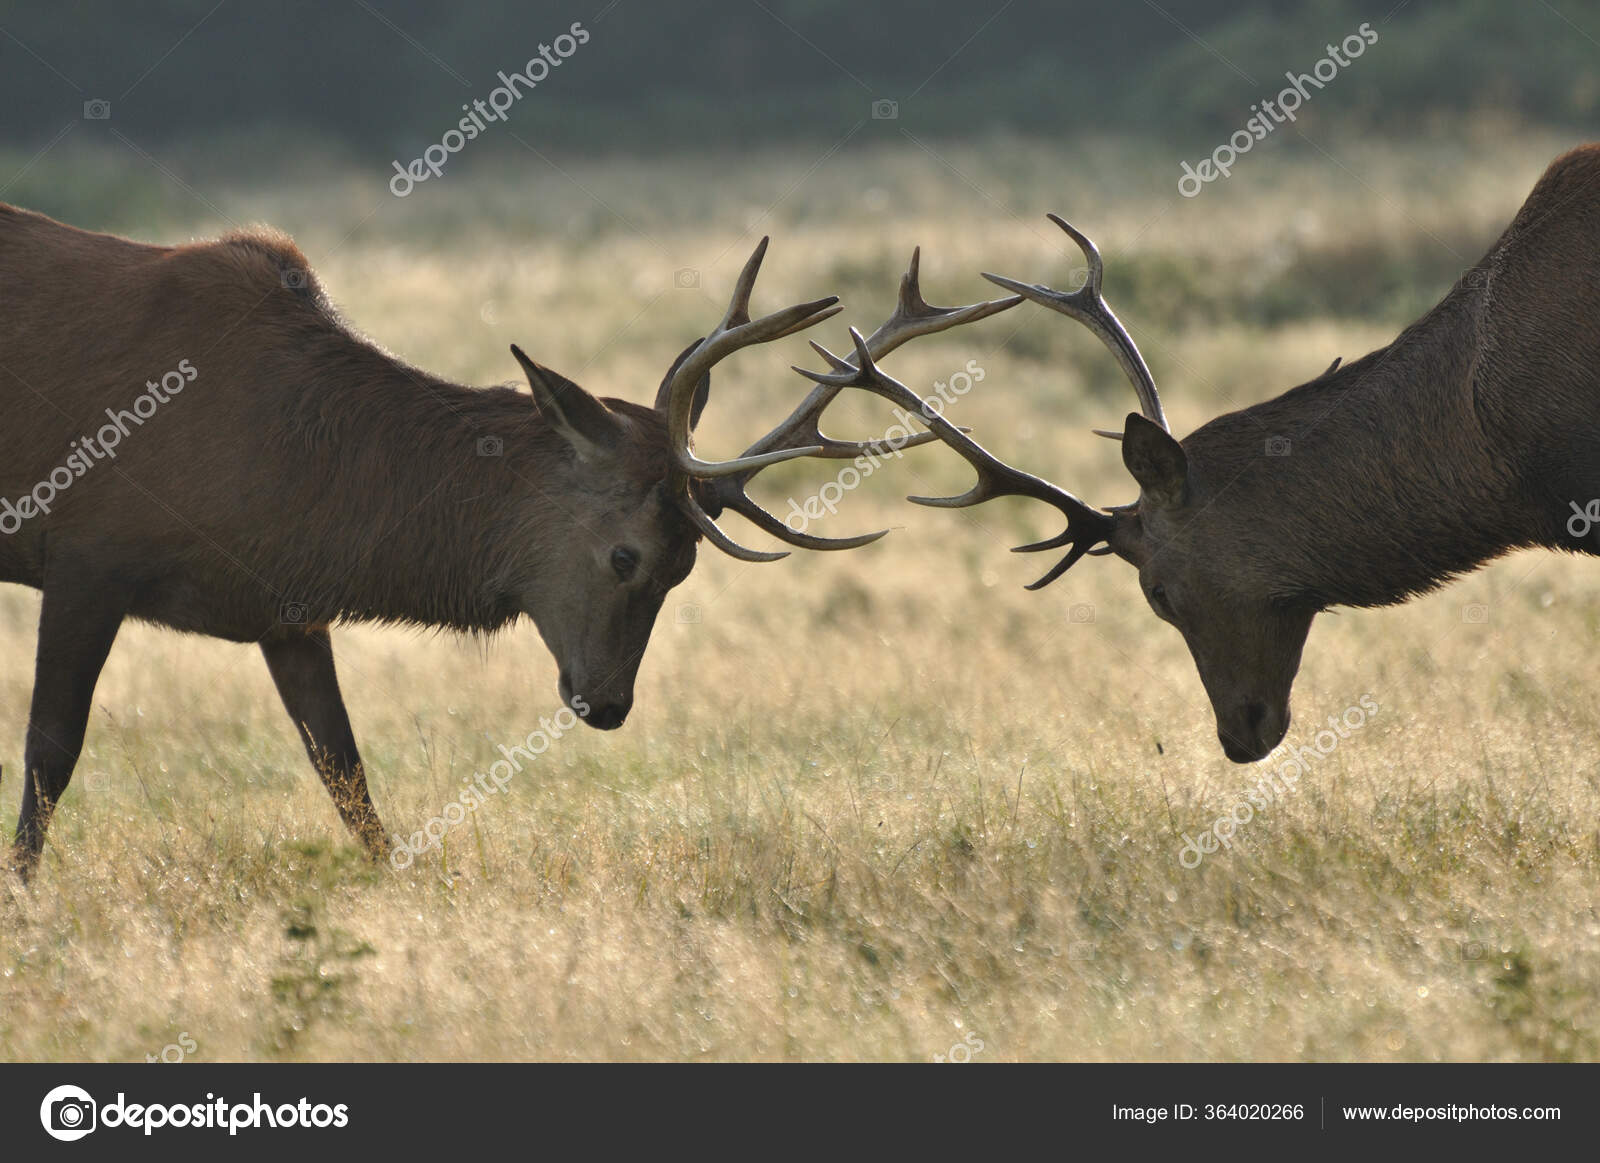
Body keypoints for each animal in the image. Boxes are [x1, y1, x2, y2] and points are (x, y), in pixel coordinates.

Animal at [0, 200, 1019, 877]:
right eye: (625, 555)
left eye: (687, 569)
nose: (608, 704)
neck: (298, 482)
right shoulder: (88, 553)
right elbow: (52, 748)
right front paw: (24, 890)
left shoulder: (285, 611)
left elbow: (344, 767)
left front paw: (394, 883)